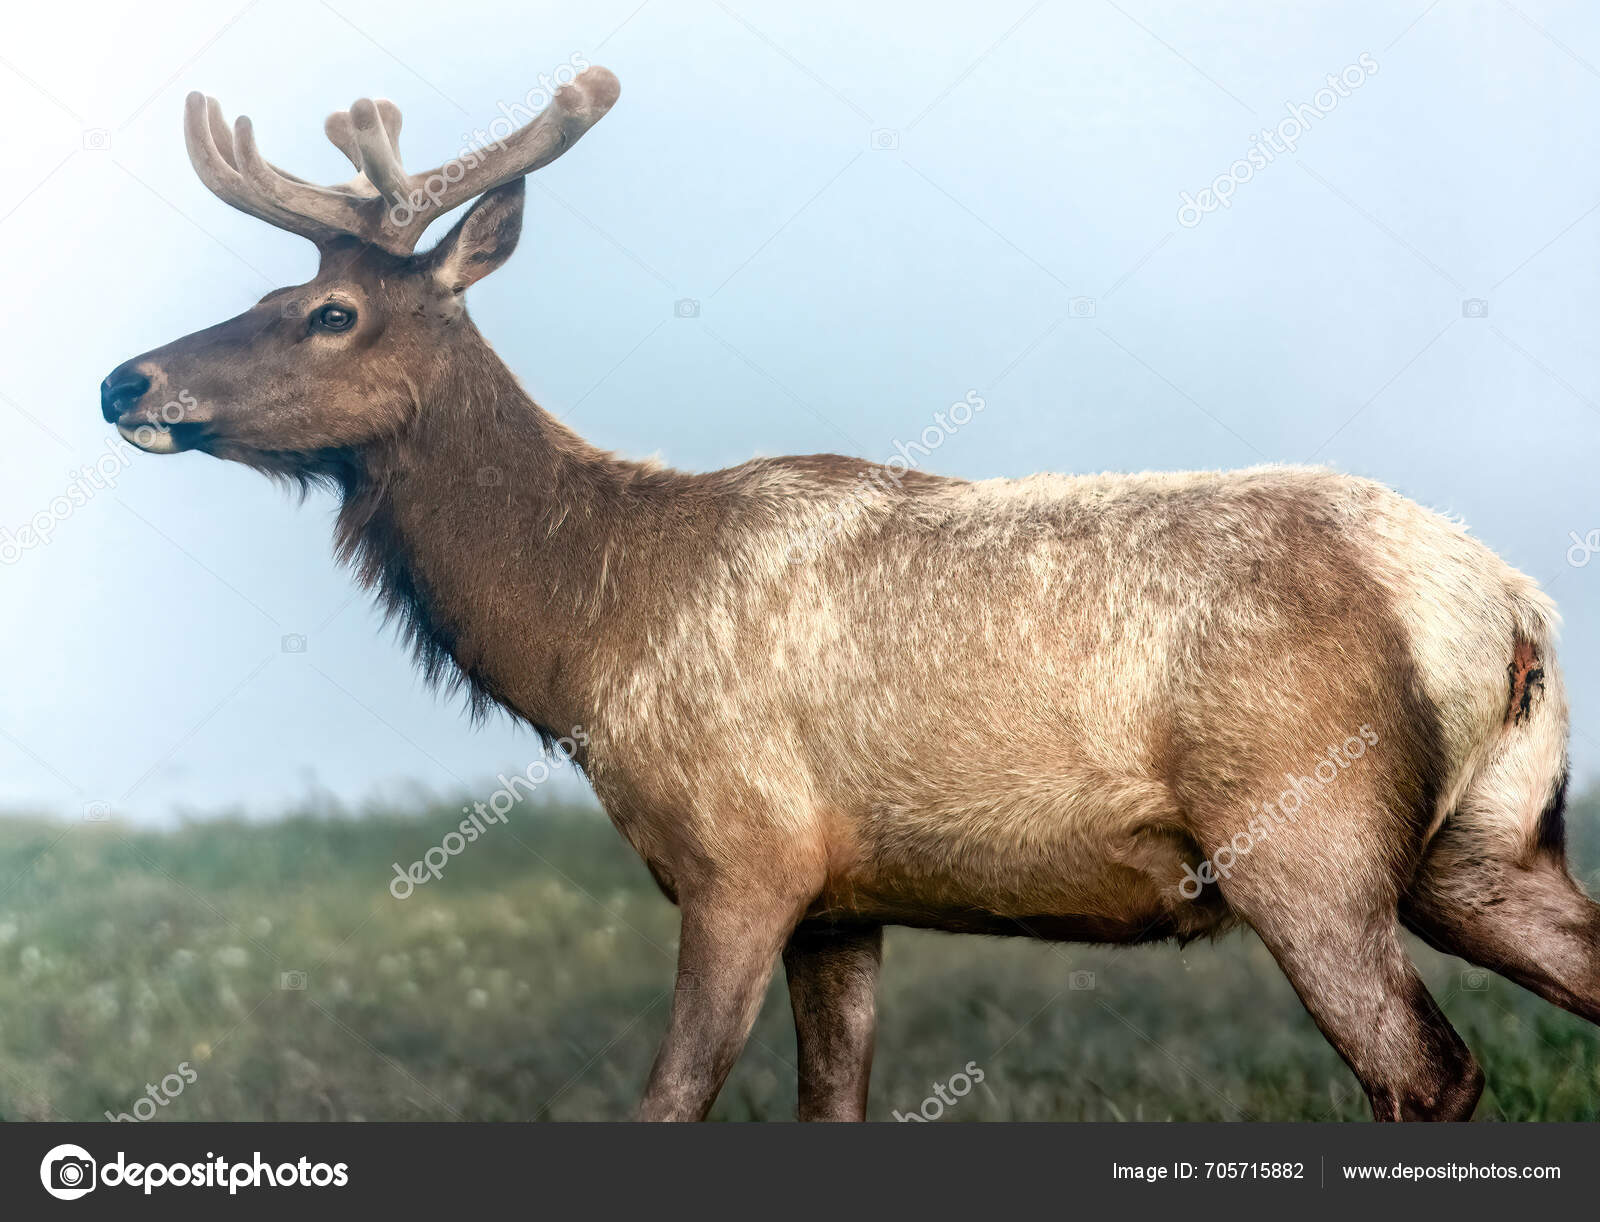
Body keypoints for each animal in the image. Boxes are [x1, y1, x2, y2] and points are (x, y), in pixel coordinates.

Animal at [100, 64, 1596, 1122]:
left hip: (1303, 833)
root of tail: (1508, 604)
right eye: (279, 289)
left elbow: (670, 1101)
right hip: (1491, 845)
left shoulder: (742, 854)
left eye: (330, 314)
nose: (125, 379)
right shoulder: (843, 897)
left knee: (1426, 1072)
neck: (588, 640)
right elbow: (835, 1105)